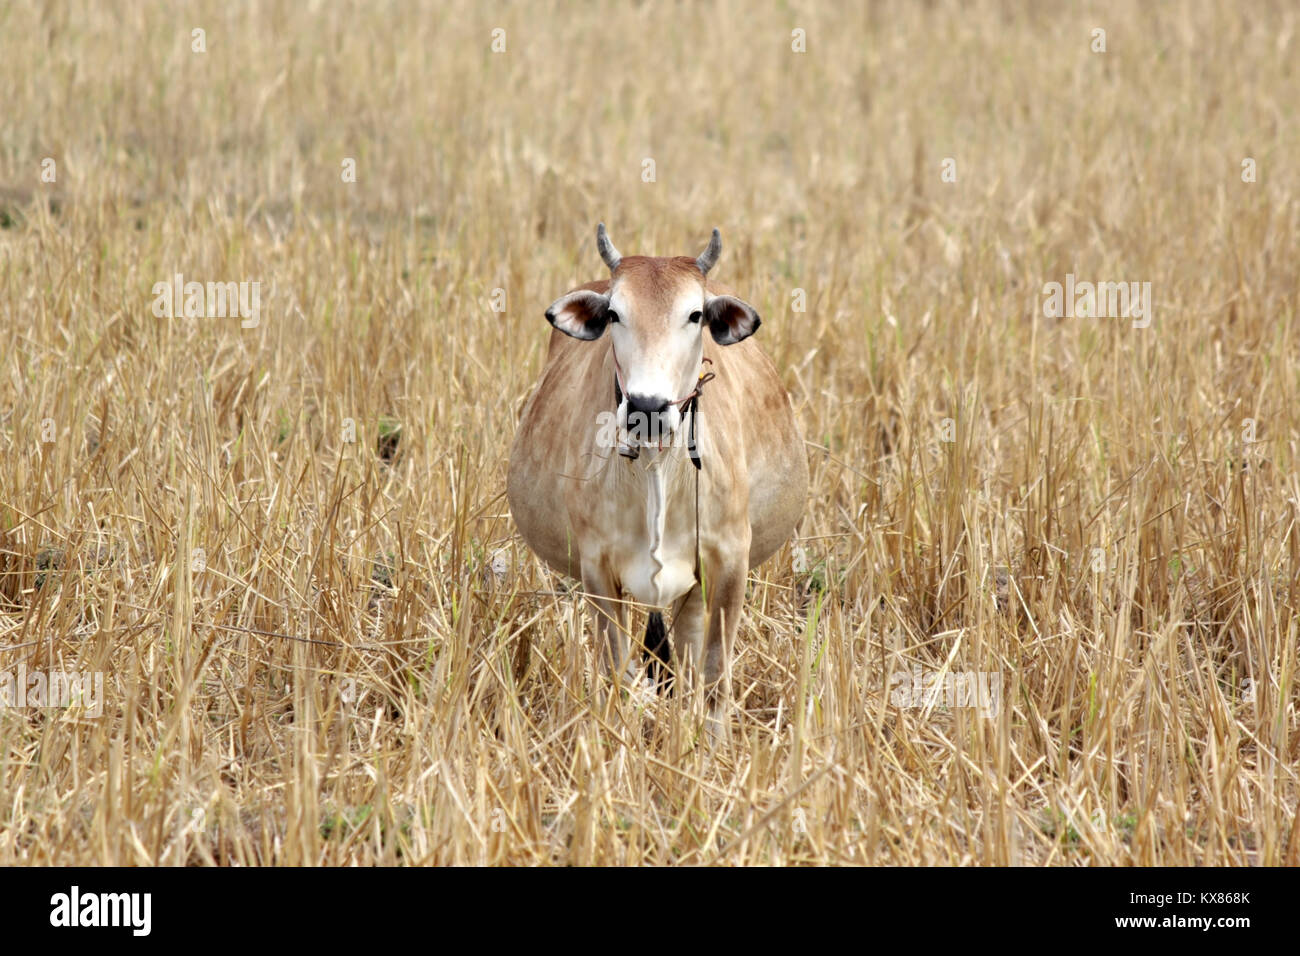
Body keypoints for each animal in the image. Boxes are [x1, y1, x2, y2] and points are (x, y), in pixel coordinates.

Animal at [507, 224, 807, 738]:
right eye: (614, 313)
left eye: (694, 314)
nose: (647, 407)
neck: (657, 467)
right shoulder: (598, 570)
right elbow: (617, 671)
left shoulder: (729, 562)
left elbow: (714, 673)